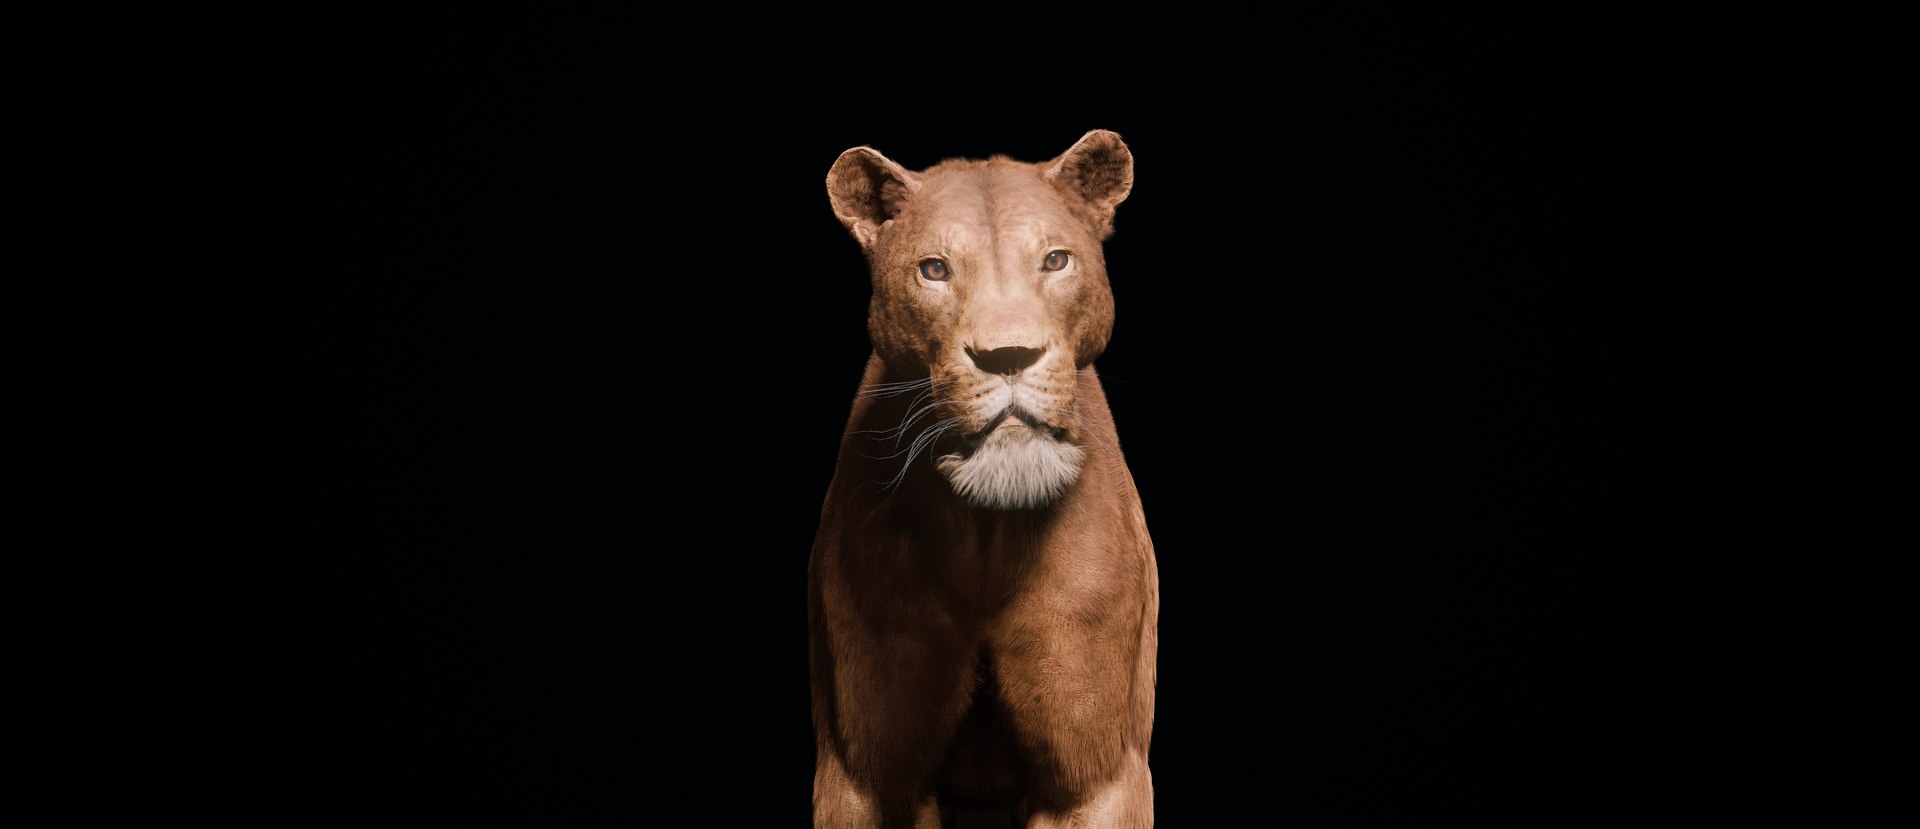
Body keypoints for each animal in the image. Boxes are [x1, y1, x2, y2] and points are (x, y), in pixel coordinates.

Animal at [809, 130, 1158, 829]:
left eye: (1056, 260)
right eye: (935, 270)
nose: (1008, 357)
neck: (986, 534)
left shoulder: (1096, 779)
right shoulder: (862, 778)